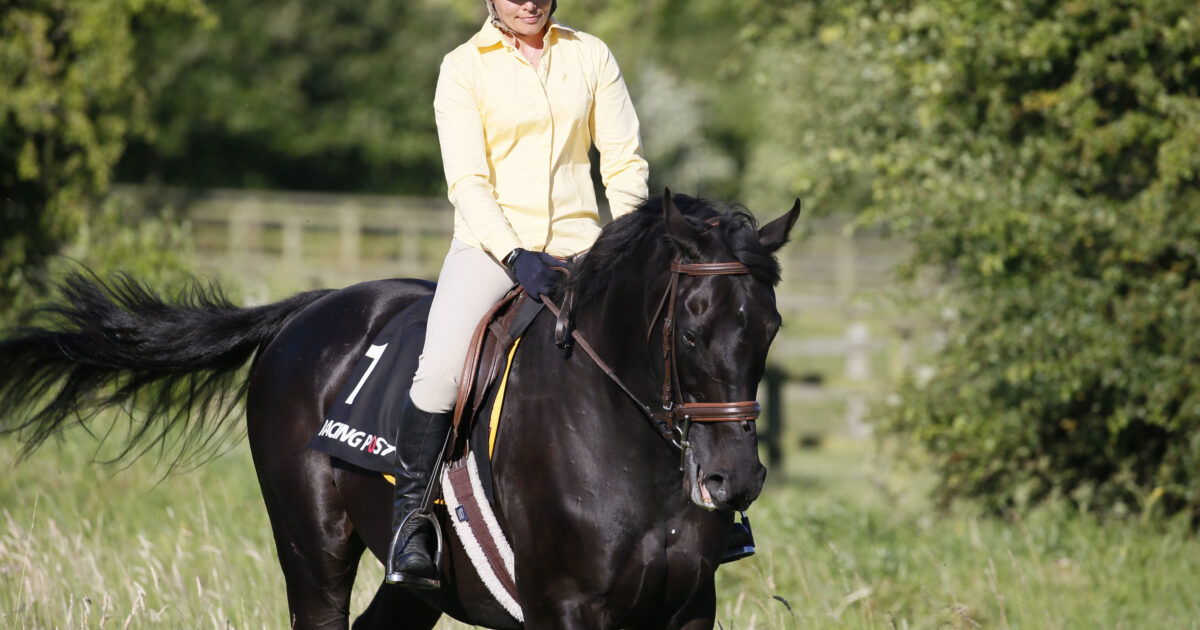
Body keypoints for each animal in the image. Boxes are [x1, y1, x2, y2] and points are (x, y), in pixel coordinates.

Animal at [0, 192, 800, 629]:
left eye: (769, 328)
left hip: (416, 588)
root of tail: (310, 309)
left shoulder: (689, 610)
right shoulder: (567, 608)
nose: (732, 481)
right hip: (312, 553)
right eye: (691, 330)